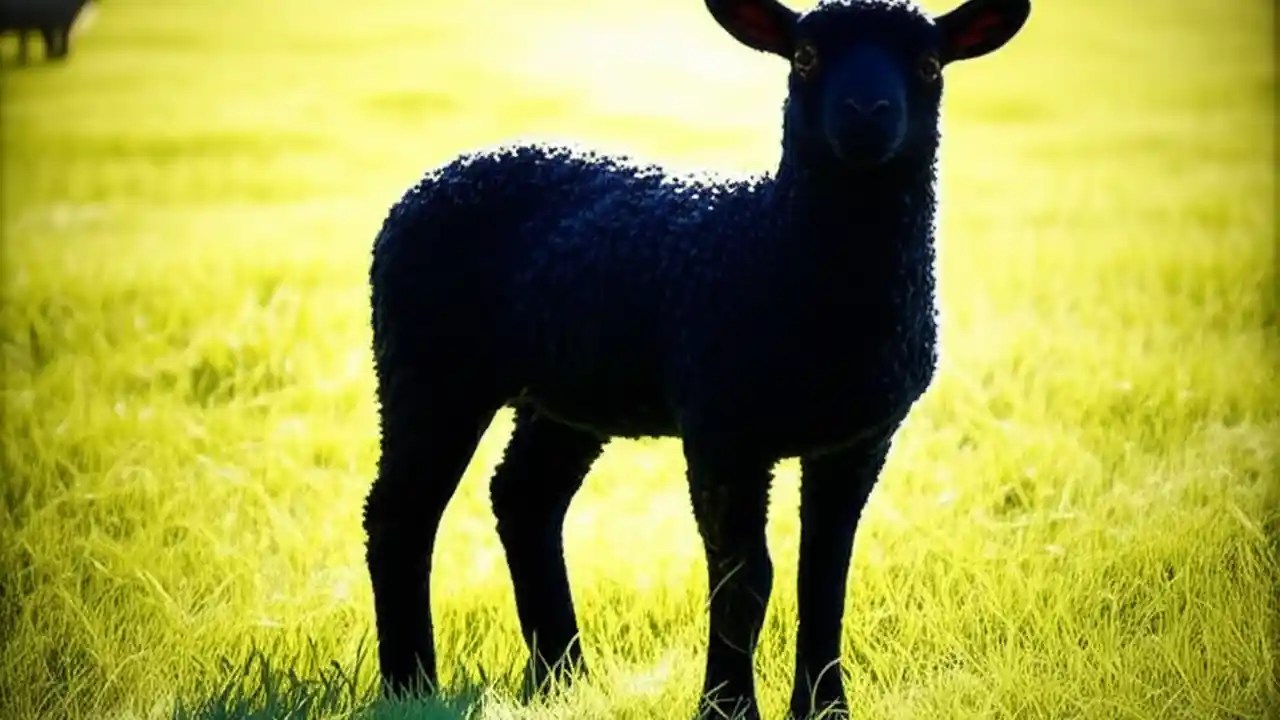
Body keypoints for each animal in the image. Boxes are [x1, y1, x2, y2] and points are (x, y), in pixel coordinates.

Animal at [361, 0, 1031, 717]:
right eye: (805, 57)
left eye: (930, 64)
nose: (865, 113)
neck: (779, 244)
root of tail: (434, 178)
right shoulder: (722, 426)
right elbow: (745, 577)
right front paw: (726, 705)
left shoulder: (861, 438)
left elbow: (825, 575)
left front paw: (823, 707)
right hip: (425, 366)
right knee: (400, 512)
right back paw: (411, 683)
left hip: (567, 392)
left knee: (524, 498)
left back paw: (562, 674)